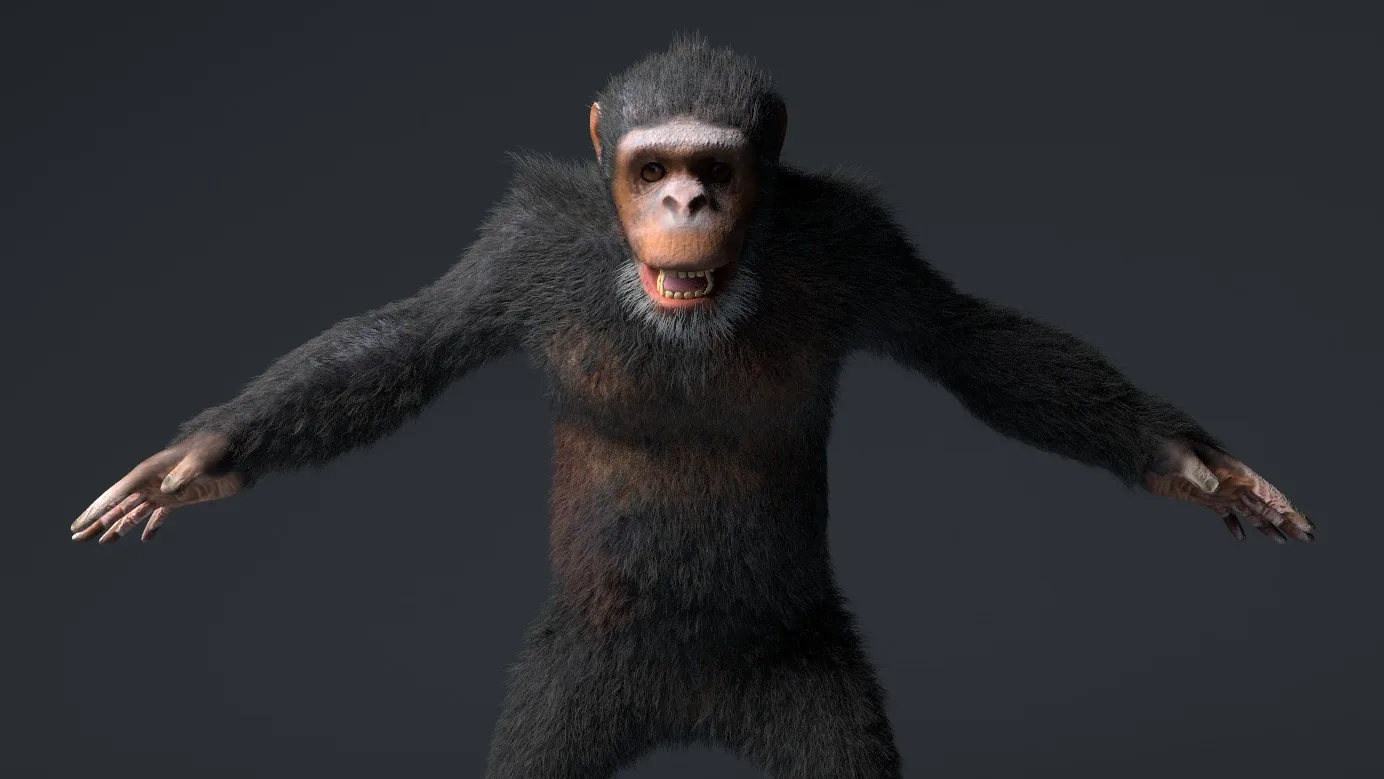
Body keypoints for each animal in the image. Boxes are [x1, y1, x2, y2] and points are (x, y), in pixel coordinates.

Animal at [69, 35, 1313, 779]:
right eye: (651, 165)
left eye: (713, 168)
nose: (683, 202)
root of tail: (689, 703)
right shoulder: (522, 249)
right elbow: (411, 339)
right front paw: (200, 458)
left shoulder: (860, 246)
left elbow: (971, 341)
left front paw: (1182, 459)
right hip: (570, 689)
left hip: (810, 690)